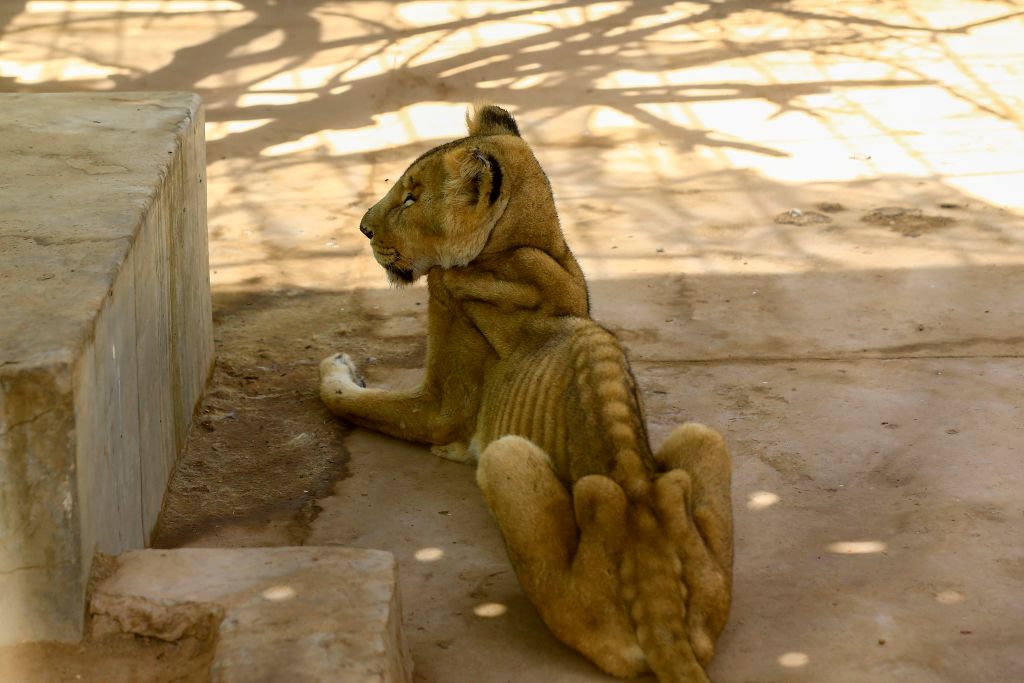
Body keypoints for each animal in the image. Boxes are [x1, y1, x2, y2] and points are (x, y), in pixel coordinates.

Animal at [320, 104, 733, 682]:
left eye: (412, 197)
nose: (362, 229)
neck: (528, 246)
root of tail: (661, 607)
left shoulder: (440, 403)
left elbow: (352, 400)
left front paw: (333, 366)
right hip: (705, 443)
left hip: (505, 460)